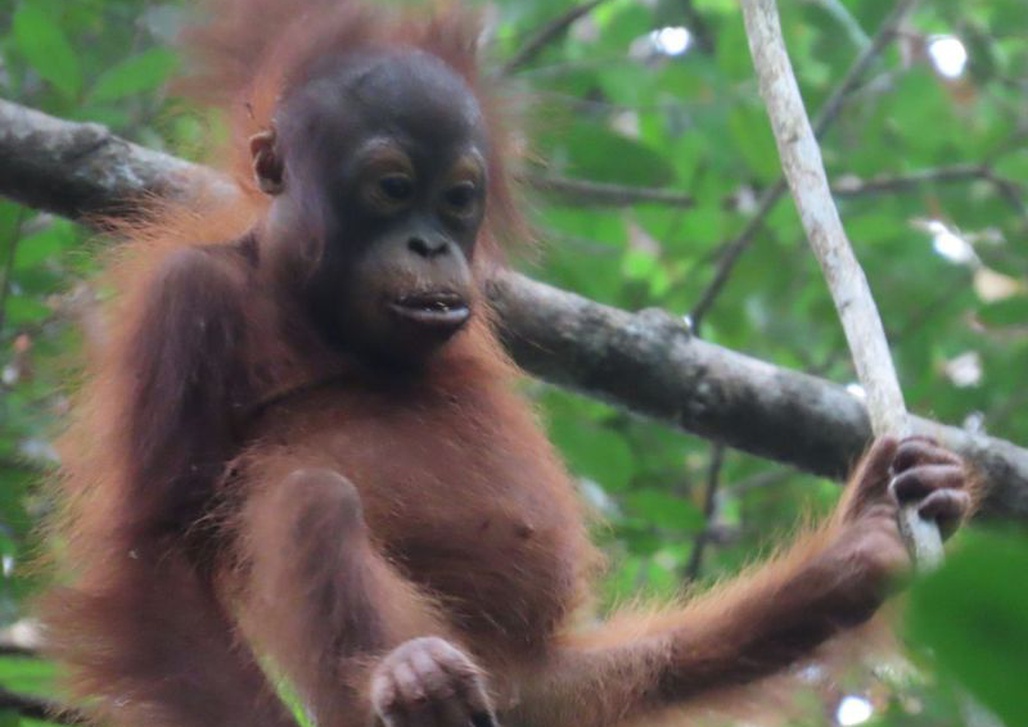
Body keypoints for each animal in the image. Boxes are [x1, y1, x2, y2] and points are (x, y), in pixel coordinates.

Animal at [39, 1, 975, 726]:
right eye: (391, 187)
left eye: (457, 198)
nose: (431, 243)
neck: (312, 306)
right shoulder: (183, 300)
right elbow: (154, 551)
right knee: (305, 498)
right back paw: (408, 679)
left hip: (551, 691)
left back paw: (857, 553)